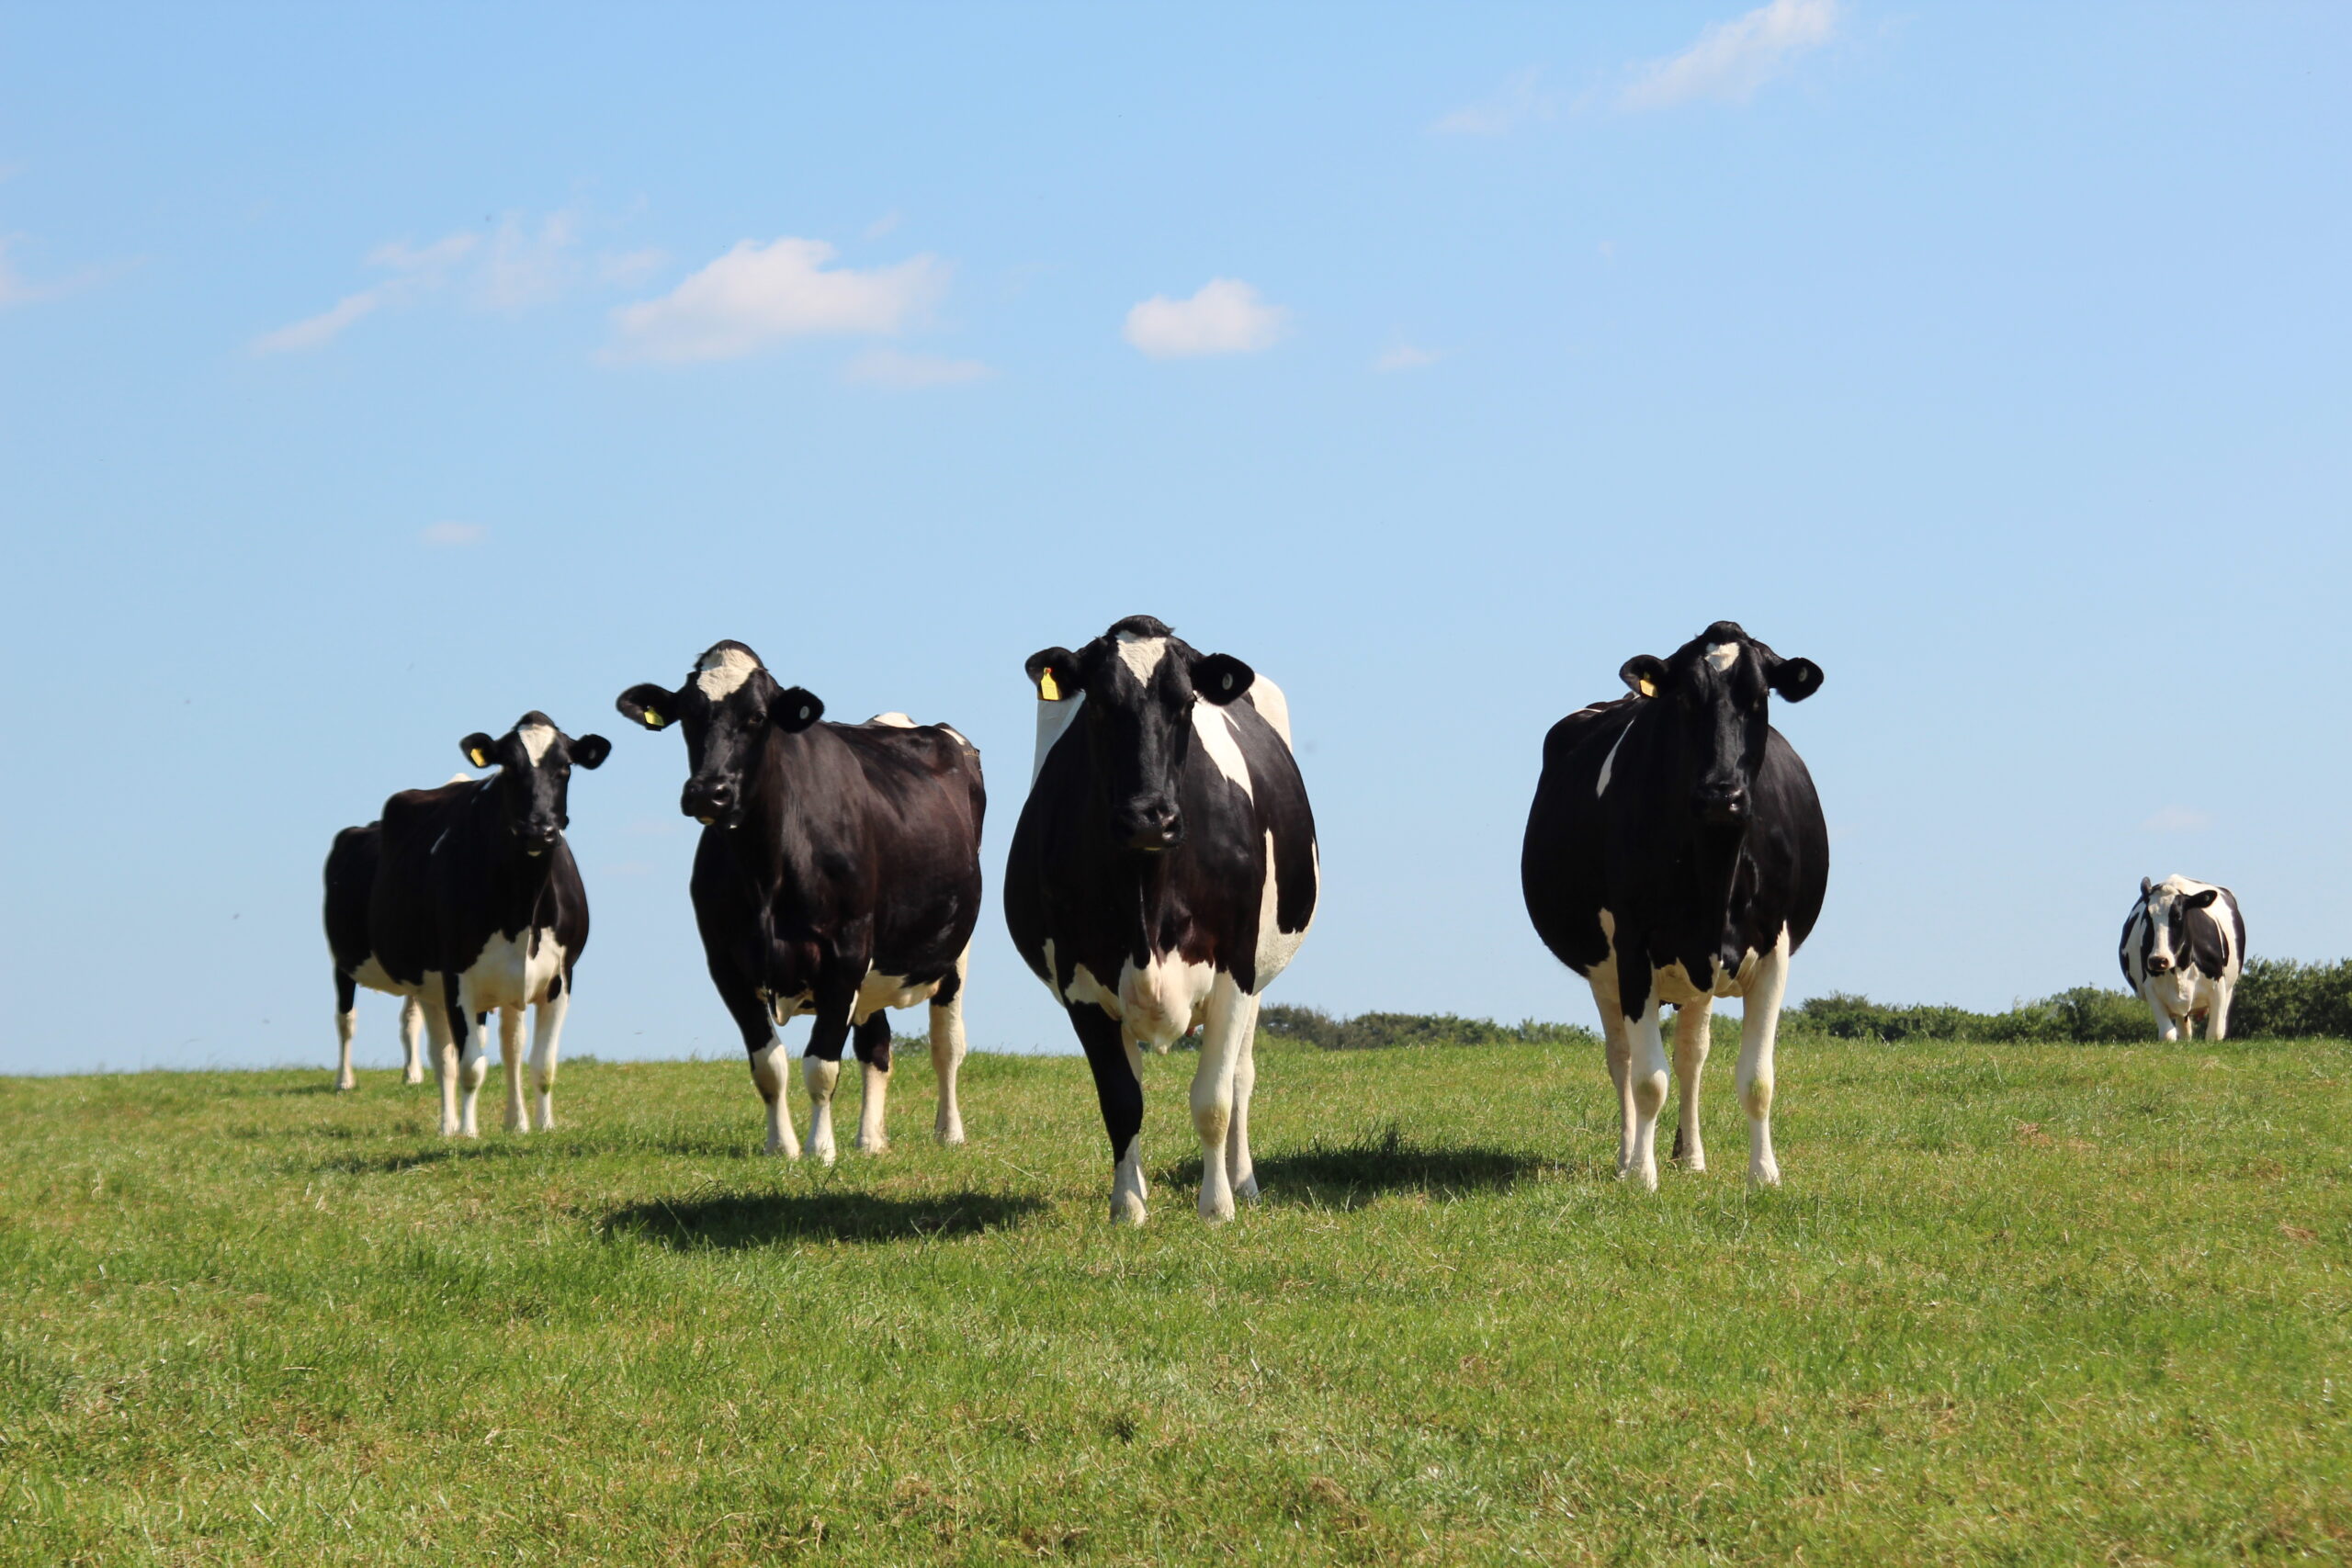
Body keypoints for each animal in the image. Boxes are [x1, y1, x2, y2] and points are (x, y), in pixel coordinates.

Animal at [614, 641, 984, 1161]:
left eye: (758, 717)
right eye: (687, 715)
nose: (709, 792)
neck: (765, 868)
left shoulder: (844, 953)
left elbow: (821, 1064)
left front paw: (820, 1150)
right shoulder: (726, 963)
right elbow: (769, 1064)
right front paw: (781, 1146)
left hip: (954, 950)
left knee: (946, 1043)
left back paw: (948, 1132)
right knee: (877, 1045)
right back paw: (869, 1140)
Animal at [1004, 615, 1318, 1224]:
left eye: (1186, 702)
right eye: (1100, 703)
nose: (1150, 817)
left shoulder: (1236, 970)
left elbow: (1214, 1100)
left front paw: (1217, 1207)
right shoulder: (1080, 984)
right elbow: (1122, 1102)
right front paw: (1127, 1208)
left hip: (1261, 972)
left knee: (1241, 1076)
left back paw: (1244, 1182)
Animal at [1521, 621, 1827, 1191]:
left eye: (1759, 697)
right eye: (1685, 698)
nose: (1722, 794)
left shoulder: (1775, 947)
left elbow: (1757, 1079)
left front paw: (1763, 1175)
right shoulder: (1632, 947)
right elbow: (1648, 1080)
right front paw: (1643, 1175)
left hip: (1696, 978)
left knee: (1692, 1056)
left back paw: (1692, 1157)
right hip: (1604, 969)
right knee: (1622, 1059)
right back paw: (1627, 1159)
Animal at [2119, 875, 2245, 1040]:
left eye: (2177, 916)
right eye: (2147, 916)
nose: (2158, 960)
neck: (2181, 968)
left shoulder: (2218, 987)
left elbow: (2214, 1034)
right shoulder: (2151, 988)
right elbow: (2168, 1035)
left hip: (2228, 990)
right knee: (2184, 1030)